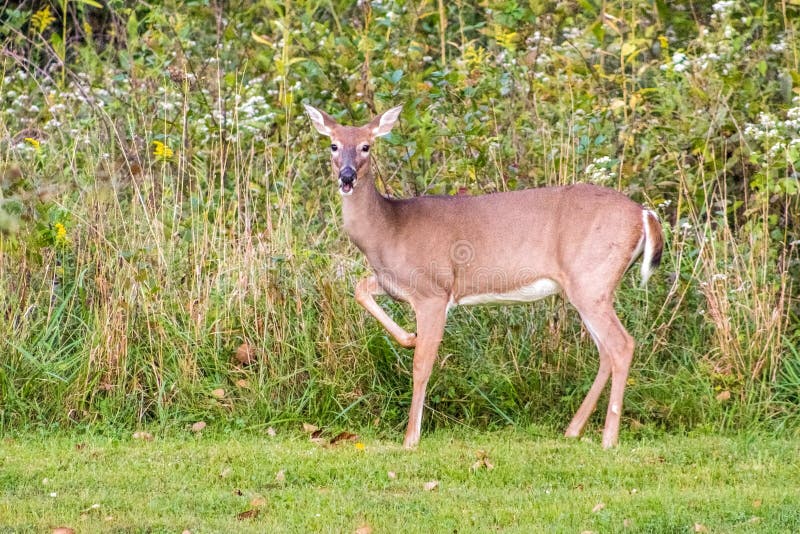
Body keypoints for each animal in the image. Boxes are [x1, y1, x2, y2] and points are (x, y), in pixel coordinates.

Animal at [304, 103, 664, 449]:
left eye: (366, 146)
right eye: (333, 144)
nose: (347, 176)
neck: (388, 230)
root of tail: (645, 214)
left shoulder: (434, 291)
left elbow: (422, 364)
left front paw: (410, 439)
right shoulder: (395, 284)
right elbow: (359, 288)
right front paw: (409, 337)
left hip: (591, 278)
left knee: (622, 345)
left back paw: (608, 439)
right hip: (587, 285)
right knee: (605, 351)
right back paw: (572, 431)